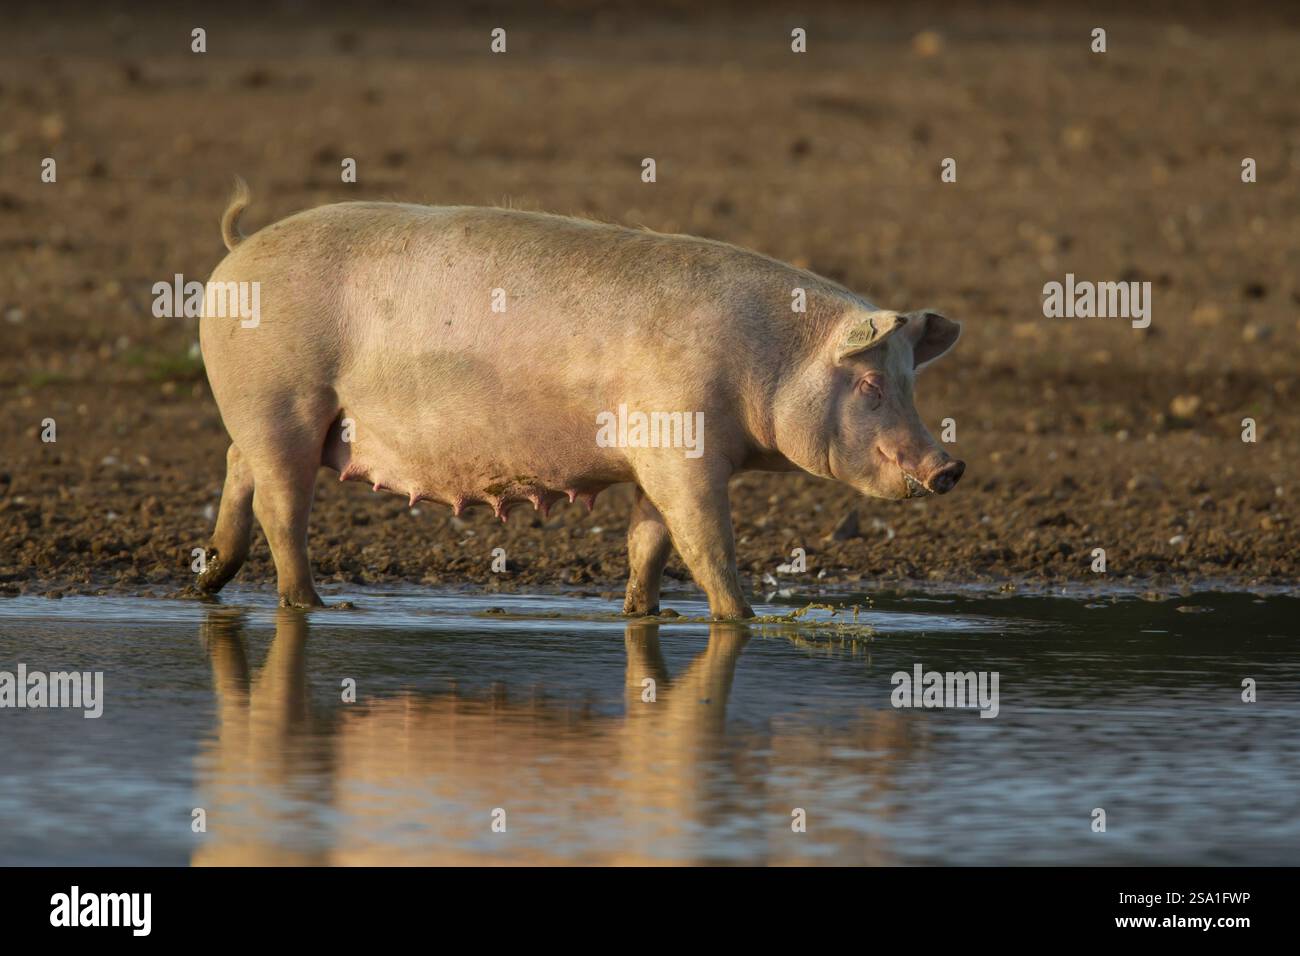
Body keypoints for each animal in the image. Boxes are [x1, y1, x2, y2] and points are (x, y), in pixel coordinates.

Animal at [195, 179, 964, 618]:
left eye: (910, 381)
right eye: (869, 384)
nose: (950, 467)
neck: (769, 359)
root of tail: (238, 249)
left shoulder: (653, 459)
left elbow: (648, 542)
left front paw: (642, 615)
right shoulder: (682, 448)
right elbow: (706, 542)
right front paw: (741, 619)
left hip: (267, 416)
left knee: (237, 468)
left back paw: (209, 583)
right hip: (279, 401)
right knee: (280, 507)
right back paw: (316, 602)